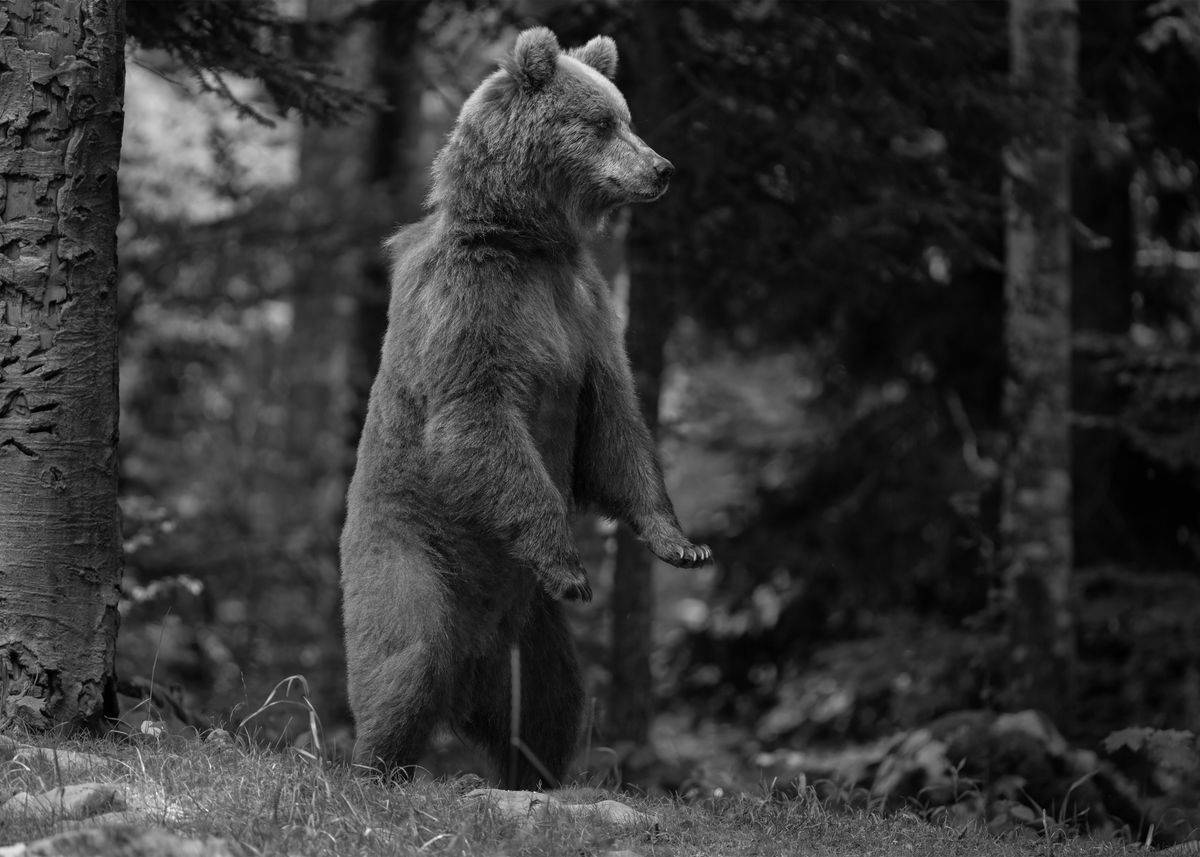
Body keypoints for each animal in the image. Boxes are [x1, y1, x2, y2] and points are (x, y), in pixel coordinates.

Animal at [340, 26, 712, 790]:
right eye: (602, 124)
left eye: (625, 115)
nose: (662, 168)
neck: (525, 239)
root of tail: (471, 669)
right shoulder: (473, 305)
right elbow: (474, 420)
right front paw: (570, 563)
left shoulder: (583, 312)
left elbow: (614, 428)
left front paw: (682, 542)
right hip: (409, 558)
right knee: (404, 661)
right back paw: (377, 767)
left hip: (530, 633)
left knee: (551, 703)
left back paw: (534, 774)